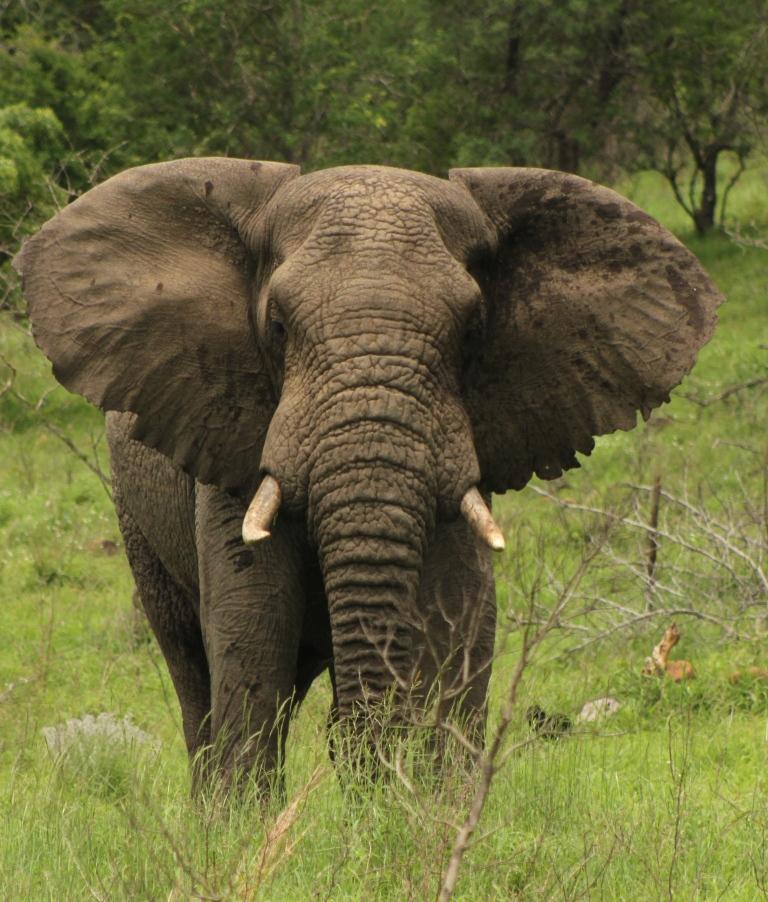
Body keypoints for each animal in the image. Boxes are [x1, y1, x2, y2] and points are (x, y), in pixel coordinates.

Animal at [15, 159, 722, 790]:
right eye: (277, 325)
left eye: (473, 329)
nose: (357, 744)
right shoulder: (231, 446)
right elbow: (252, 632)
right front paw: (242, 838)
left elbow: (463, 625)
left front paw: (435, 821)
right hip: (139, 524)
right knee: (192, 670)